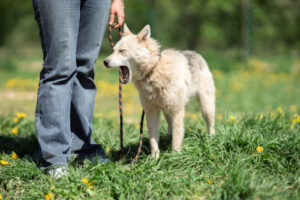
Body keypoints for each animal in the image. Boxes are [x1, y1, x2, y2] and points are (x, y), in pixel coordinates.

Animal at [103, 24, 216, 159]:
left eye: (122, 51)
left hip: (206, 107)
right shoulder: (151, 112)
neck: (153, 70)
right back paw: (167, 139)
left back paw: (211, 139)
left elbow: (177, 138)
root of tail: (194, 53)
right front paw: (154, 158)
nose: (104, 62)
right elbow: (153, 140)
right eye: (114, 50)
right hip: (167, 111)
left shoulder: (177, 111)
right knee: (170, 128)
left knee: (210, 125)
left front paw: (175, 157)